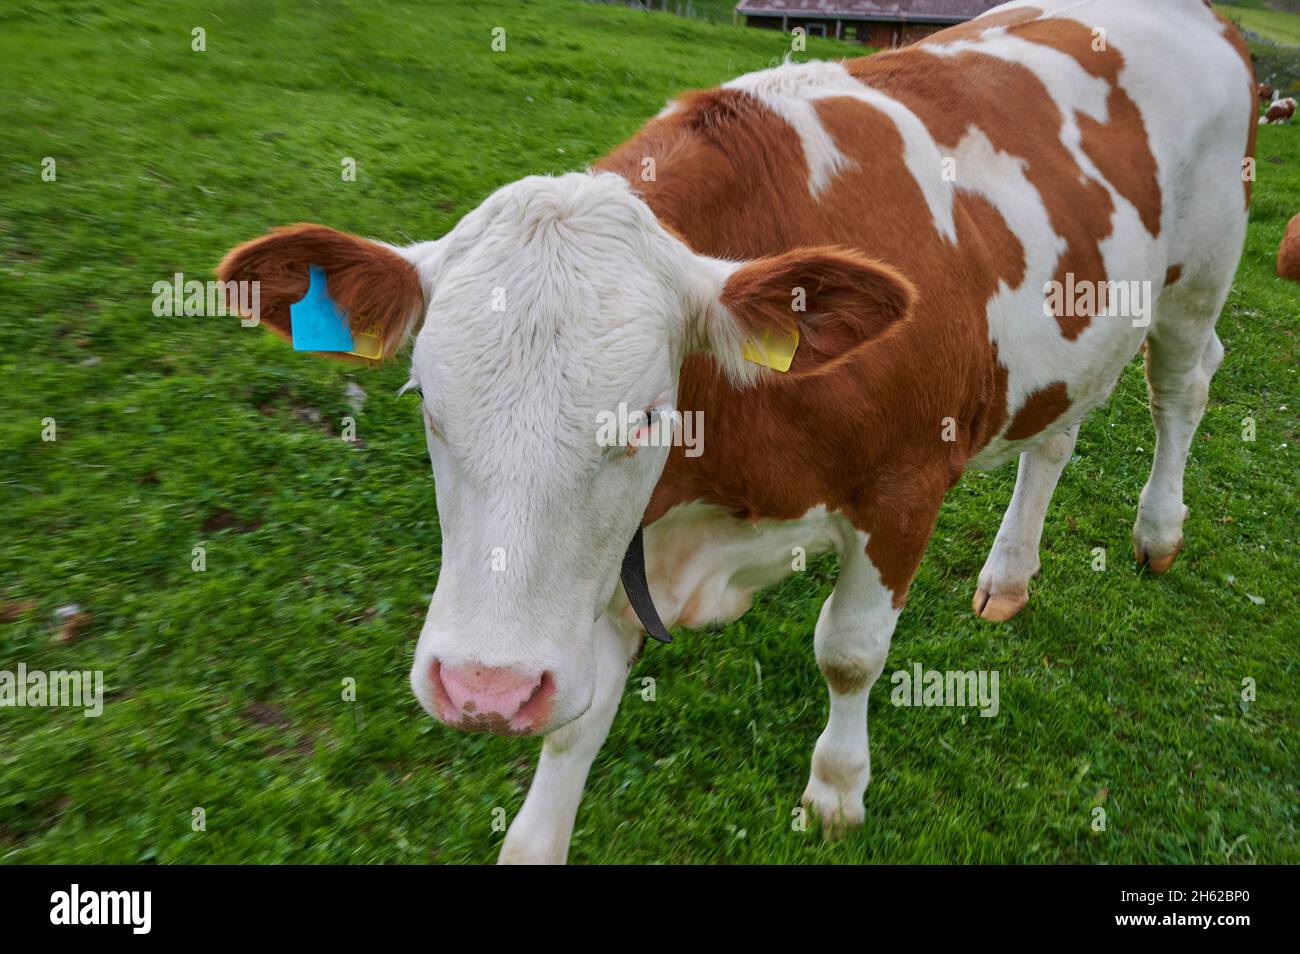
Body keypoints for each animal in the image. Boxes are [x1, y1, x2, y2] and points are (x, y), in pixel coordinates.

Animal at [218, 0, 1256, 863]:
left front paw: (837, 791)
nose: (484, 690)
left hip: (1200, 278)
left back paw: (1159, 530)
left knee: (1182, 388)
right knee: (1055, 436)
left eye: (644, 415)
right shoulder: (618, 553)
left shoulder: (904, 488)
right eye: (427, 401)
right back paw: (1009, 574)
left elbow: (849, 652)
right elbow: (577, 720)